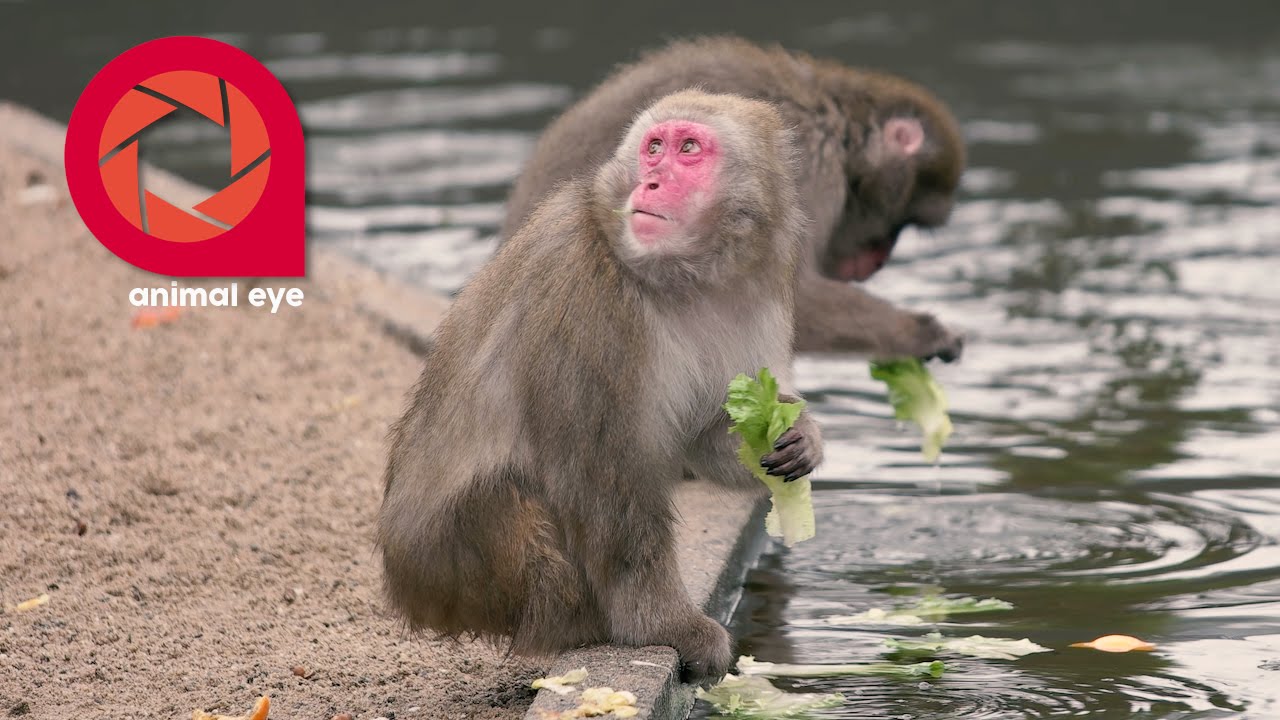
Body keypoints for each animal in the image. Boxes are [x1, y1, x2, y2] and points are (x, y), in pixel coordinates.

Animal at [377, 90, 823, 685]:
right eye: (653, 148)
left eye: (688, 149)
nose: (650, 182)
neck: (681, 280)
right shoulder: (589, 294)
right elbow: (604, 478)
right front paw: (662, 626)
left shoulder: (759, 286)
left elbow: (707, 434)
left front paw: (799, 432)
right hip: (464, 570)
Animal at [501, 36, 966, 361]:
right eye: (898, 223)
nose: (879, 260)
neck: (838, 122)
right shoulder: (811, 169)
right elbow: (795, 298)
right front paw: (922, 332)